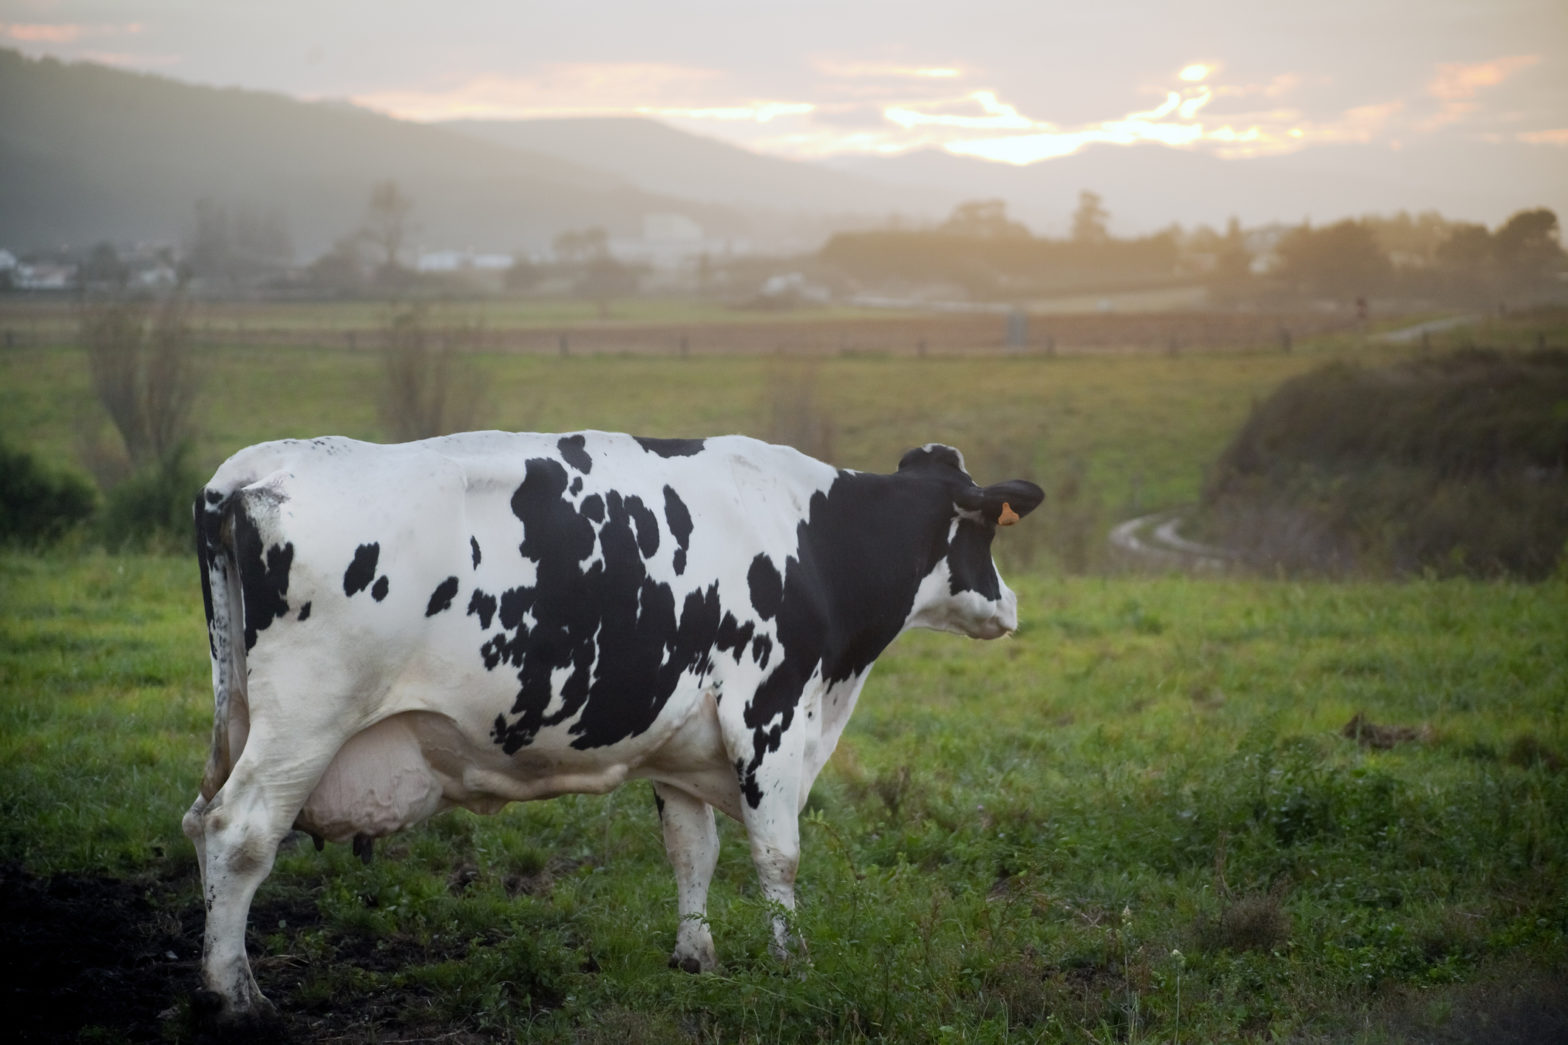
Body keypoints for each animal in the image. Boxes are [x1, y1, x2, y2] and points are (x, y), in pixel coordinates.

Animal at [183, 430, 1043, 1021]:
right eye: (984, 530)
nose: (1010, 607)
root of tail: (252, 472)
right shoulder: (766, 713)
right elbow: (779, 854)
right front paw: (792, 964)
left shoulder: (687, 741)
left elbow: (693, 850)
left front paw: (697, 955)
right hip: (306, 720)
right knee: (239, 831)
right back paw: (236, 994)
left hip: (244, 716)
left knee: (202, 821)